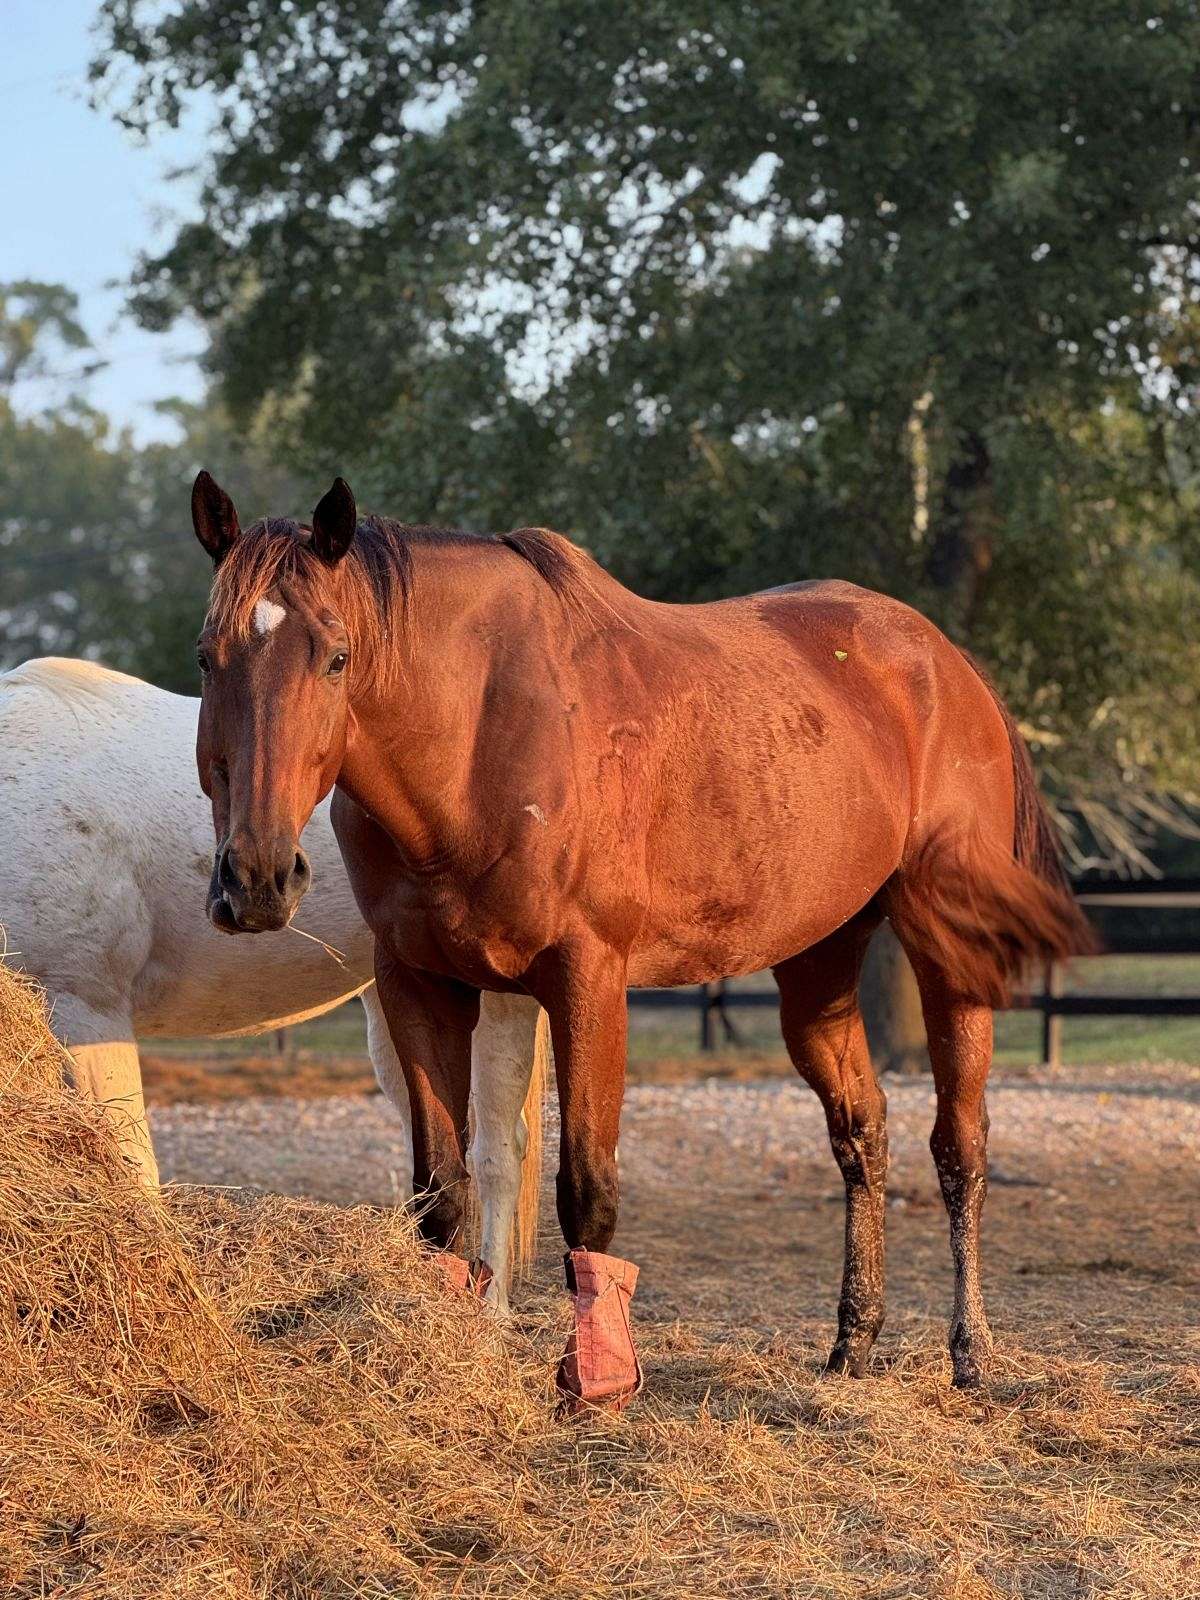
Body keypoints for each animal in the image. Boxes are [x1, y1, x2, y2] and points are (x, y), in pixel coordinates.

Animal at [188, 470, 1092, 1410]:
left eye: (337, 657)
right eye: (207, 658)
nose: (255, 879)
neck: (481, 738)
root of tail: (946, 663)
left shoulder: (588, 982)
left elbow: (587, 1189)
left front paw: (598, 1377)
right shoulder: (420, 986)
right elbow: (441, 1189)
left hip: (948, 951)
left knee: (960, 1146)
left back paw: (972, 1353)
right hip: (819, 963)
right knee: (862, 1131)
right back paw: (852, 1344)